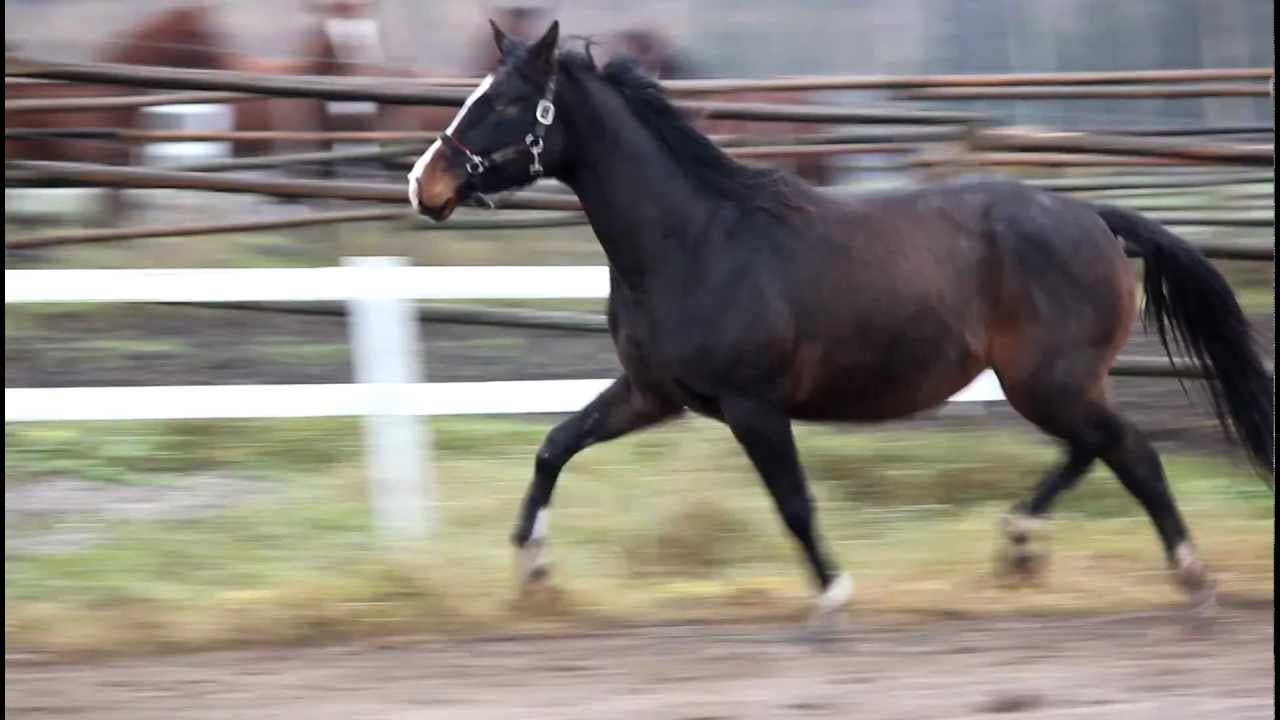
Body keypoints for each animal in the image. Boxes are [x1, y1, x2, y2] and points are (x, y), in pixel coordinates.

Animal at [408, 21, 1274, 620]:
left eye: (506, 103)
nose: (425, 182)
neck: (695, 238)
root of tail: (1095, 217)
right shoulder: (653, 393)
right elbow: (554, 446)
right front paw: (533, 572)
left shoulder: (753, 405)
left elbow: (794, 503)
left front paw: (833, 594)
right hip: (1054, 384)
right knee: (1096, 448)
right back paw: (1022, 546)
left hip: (1048, 381)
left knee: (1133, 454)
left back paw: (1191, 576)